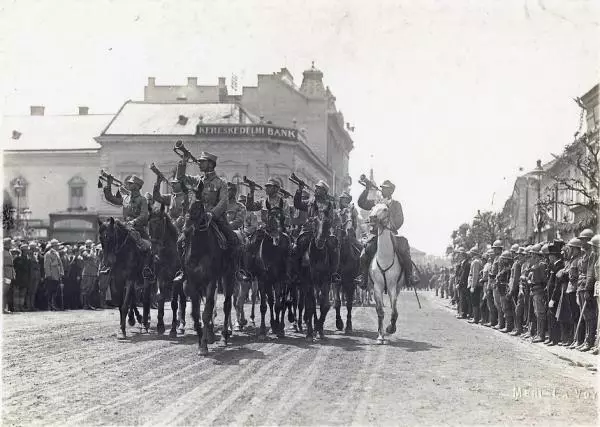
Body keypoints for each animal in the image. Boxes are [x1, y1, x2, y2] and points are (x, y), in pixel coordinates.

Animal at [146, 205, 184, 338]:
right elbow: (160, 297)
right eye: (149, 225)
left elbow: (174, 303)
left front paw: (172, 329)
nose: (153, 251)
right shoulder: (160, 277)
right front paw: (160, 326)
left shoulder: (175, 280)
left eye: (160, 225)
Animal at [368, 203, 406, 344]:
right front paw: (380, 336)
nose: (372, 217)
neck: (384, 258)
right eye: (372, 208)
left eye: (385, 209)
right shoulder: (377, 287)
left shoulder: (392, 287)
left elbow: (394, 311)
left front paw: (390, 328)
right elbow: (380, 311)